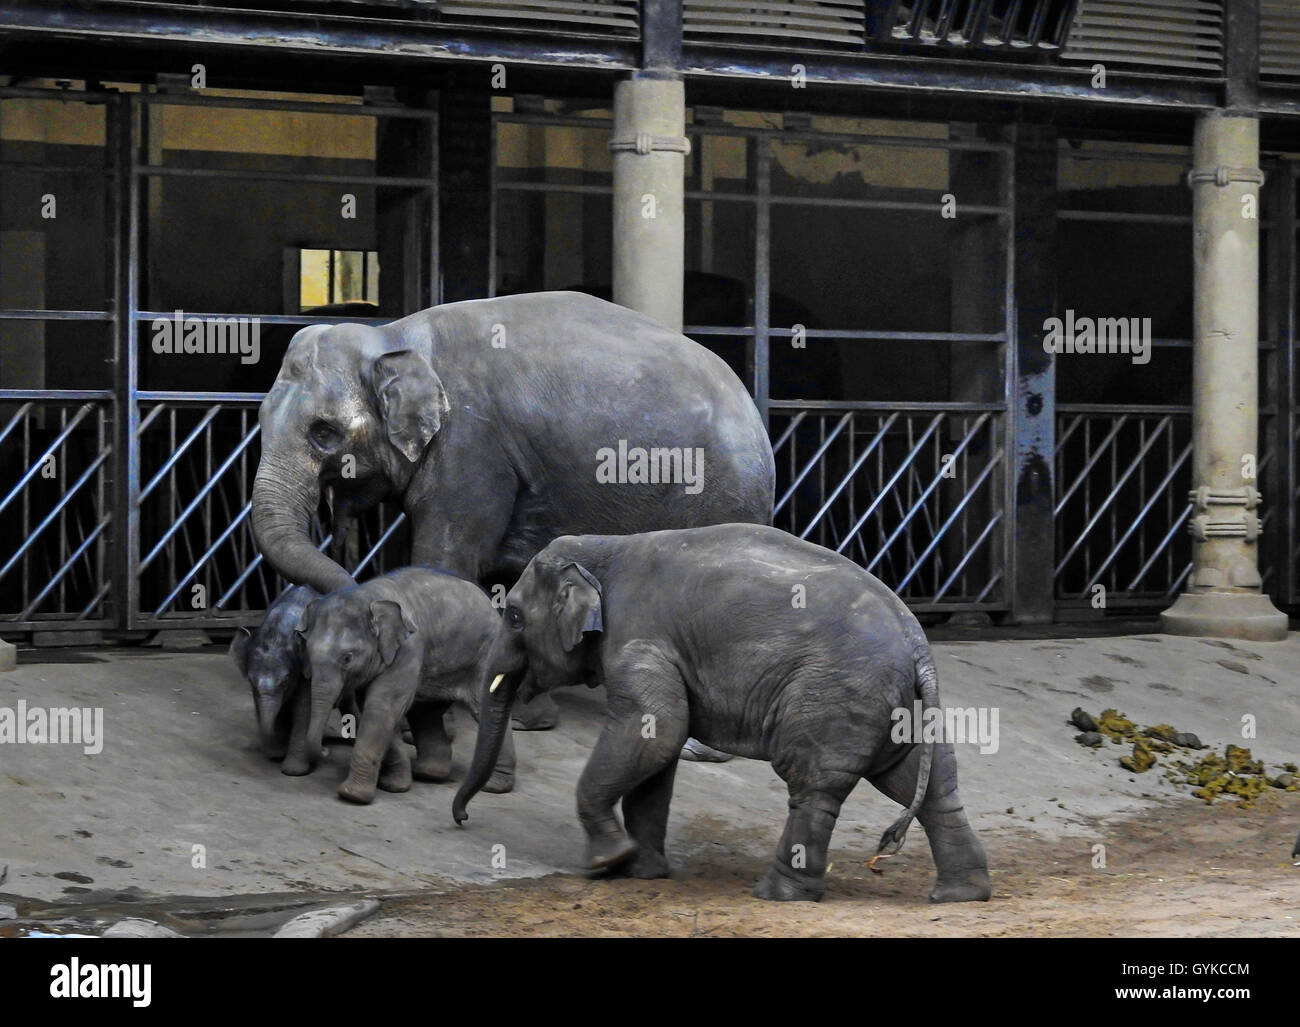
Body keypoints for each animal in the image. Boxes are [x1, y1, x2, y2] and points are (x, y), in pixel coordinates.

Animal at [292, 566, 514, 805]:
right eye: (308, 653)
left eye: (347, 658)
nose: (326, 750)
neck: (368, 596)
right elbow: (369, 708)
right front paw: (394, 784)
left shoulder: (409, 648)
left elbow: (381, 707)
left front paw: (352, 796)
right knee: (425, 713)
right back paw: (428, 773)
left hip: (487, 654)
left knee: (483, 709)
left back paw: (494, 786)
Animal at [453, 523, 992, 904]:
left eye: (514, 616)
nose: (462, 819)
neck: (603, 547)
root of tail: (917, 643)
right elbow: (656, 755)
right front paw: (640, 871)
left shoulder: (639, 641)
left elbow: (655, 733)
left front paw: (606, 862)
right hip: (899, 706)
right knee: (928, 784)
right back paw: (960, 894)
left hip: (834, 695)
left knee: (813, 786)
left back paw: (778, 895)